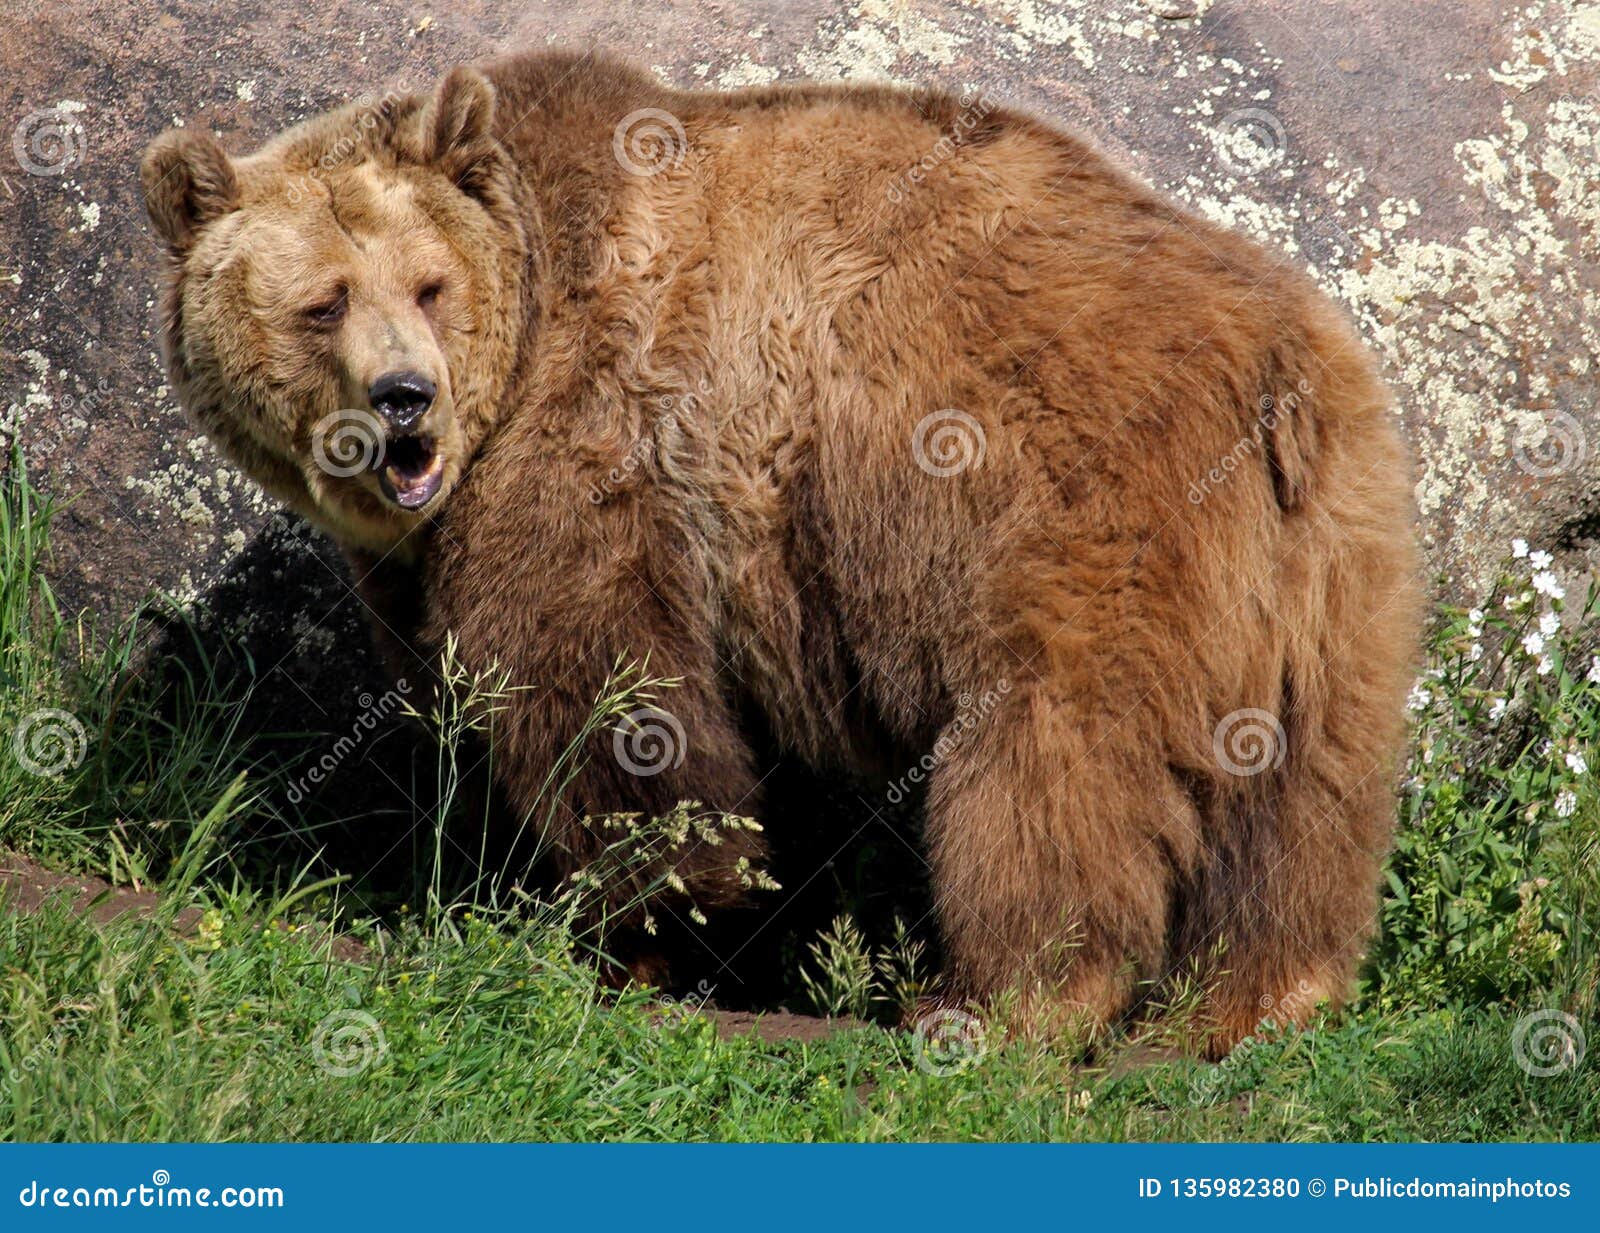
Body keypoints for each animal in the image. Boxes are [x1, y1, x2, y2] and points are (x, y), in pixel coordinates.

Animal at [141, 48, 1421, 1054]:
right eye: (321, 302)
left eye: (426, 284)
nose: (404, 401)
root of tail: (1273, 365)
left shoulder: (603, 441)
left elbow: (604, 695)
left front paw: (654, 927)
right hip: (1338, 553)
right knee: (1306, 788)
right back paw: (1259, 999)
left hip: (1064, 512)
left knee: (1049, 752)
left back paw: (1006, 1000)